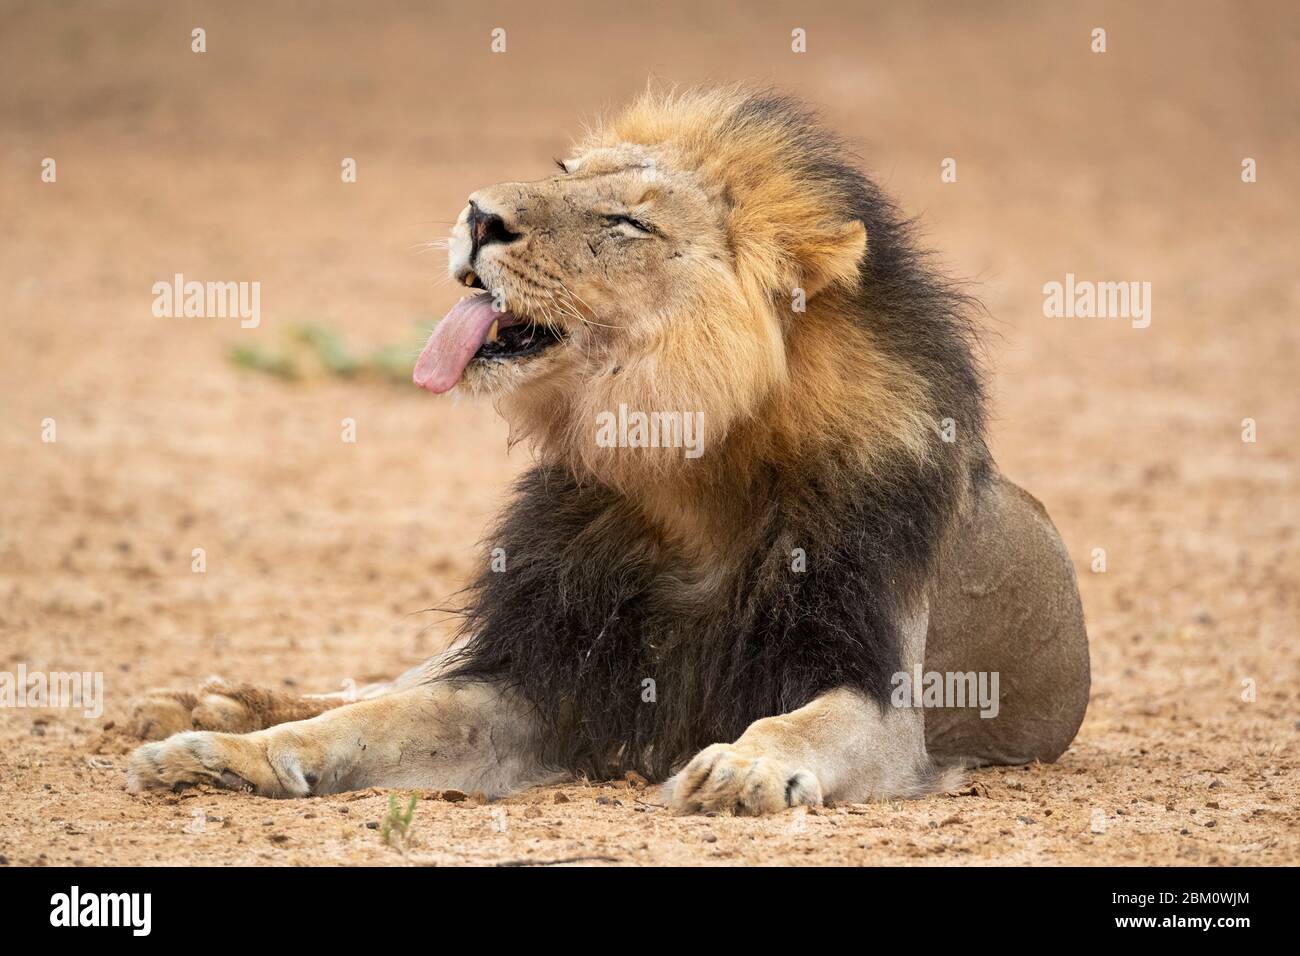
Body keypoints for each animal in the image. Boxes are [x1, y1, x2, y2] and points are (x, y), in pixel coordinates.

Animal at [126, 86, 1089, 814]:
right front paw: (231, 754)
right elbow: (368, 722)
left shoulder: (885, 702)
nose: (477, 215)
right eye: (566, 175)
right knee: (379, 683)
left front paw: (741, 765)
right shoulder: (543, 671)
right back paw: (201, 707)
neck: (684, 484)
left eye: (626, 222)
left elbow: (802, 725)